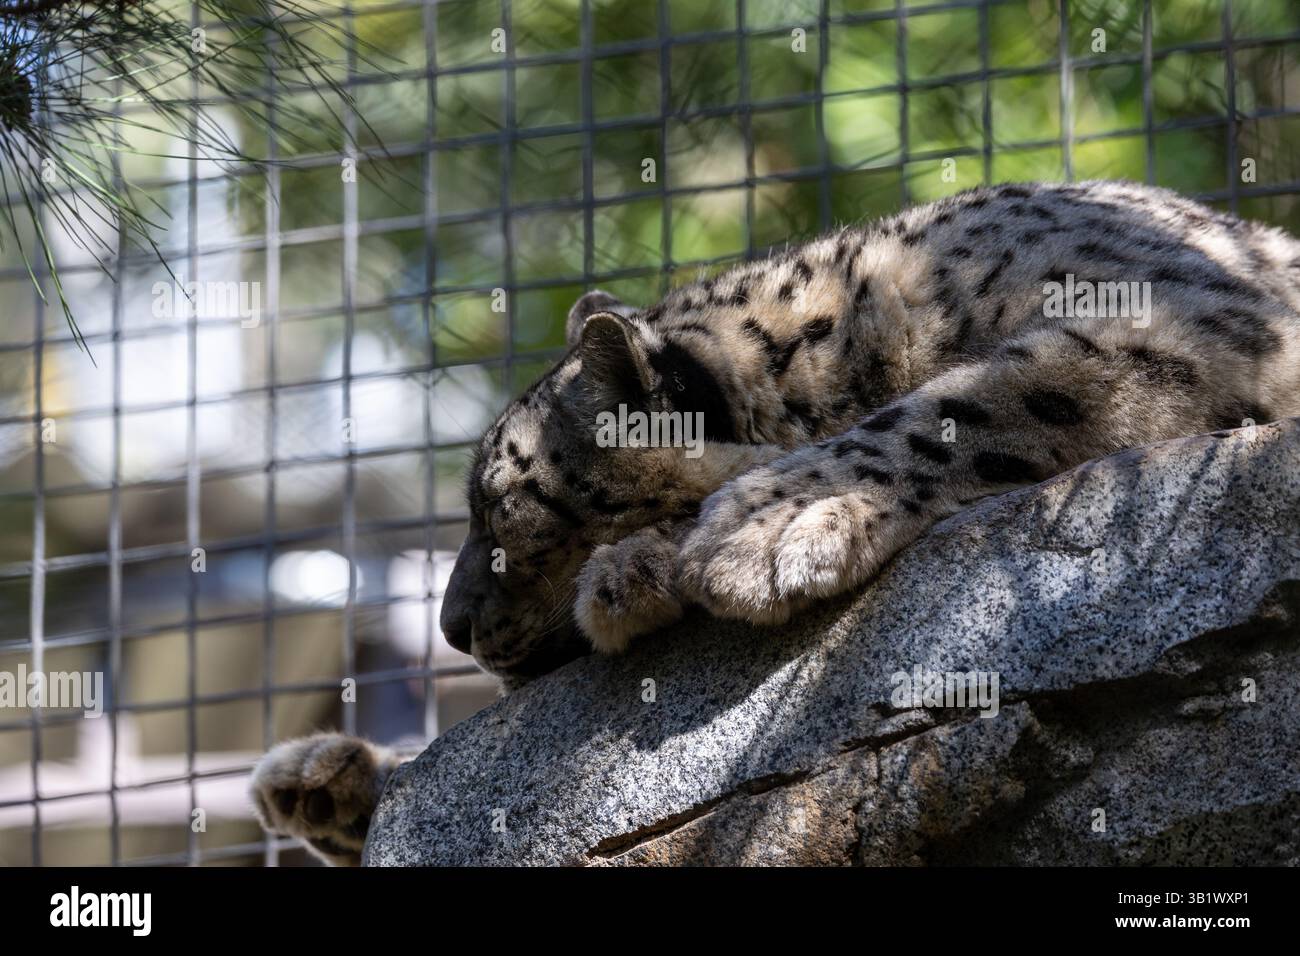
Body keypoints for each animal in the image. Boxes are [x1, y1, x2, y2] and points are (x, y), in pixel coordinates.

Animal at [250, 180, 1300, 864]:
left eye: (504, 510)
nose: (452, 627)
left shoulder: (1166, 315)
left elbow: (965, 403)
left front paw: (760, 530)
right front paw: (339, 777)